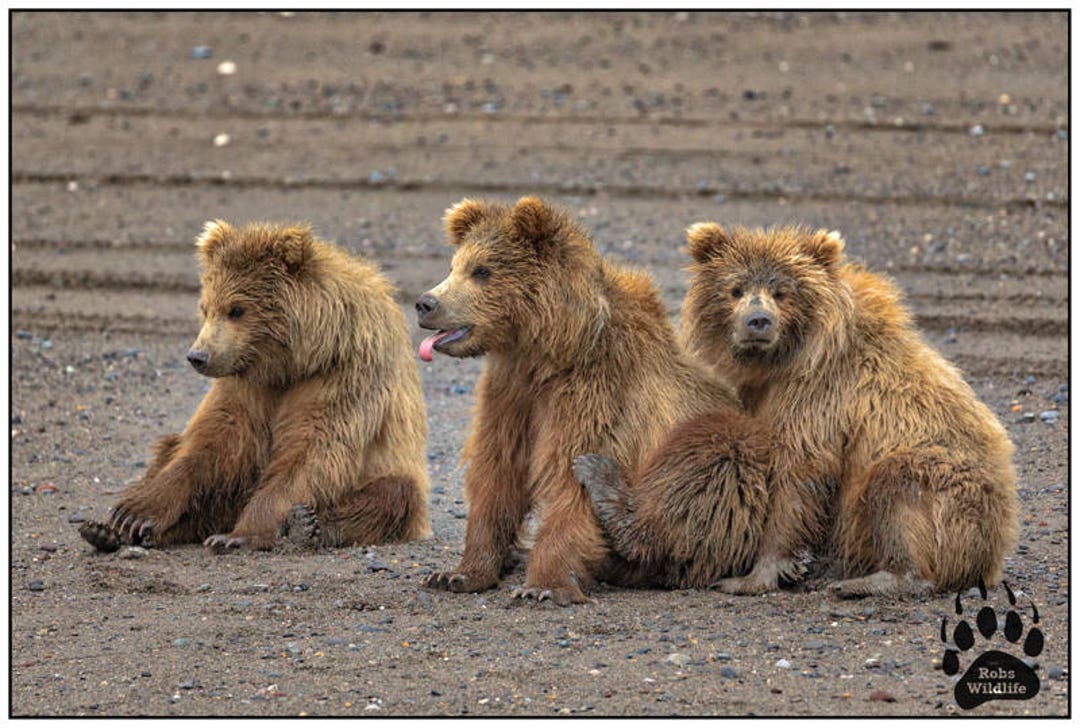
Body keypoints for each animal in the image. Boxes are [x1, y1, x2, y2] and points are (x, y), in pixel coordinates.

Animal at [79, 220, 431, 553]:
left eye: (237, 309)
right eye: (206, 307)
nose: (198, 356)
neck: (294, 362)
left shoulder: (344, 372)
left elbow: (312, 451)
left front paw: (239, 536)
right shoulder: (246, 381)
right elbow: (216, 439)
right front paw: (131, 514)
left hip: (398, 478)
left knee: (391, 493)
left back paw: (308, 527)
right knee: (171, 449)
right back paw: (107, 532)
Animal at [415, 196, 771, 604]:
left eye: (482, 270)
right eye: (453, 266)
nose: (425, 303)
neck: (546, 352)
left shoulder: (594, 393)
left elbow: (569, 479)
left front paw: (543, 586)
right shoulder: (511, 393)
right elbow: (497, 471)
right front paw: (457, 573)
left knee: (710, 463)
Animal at [675, 222, 1019, 597]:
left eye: (782, 292)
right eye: (735, 289)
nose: (758, 321)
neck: (778, 364)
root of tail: (993, 553)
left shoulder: (818, 400)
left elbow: (797, 480)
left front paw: (749, 577)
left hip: (954, 495)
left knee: (895, 488)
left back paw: (869, 580)